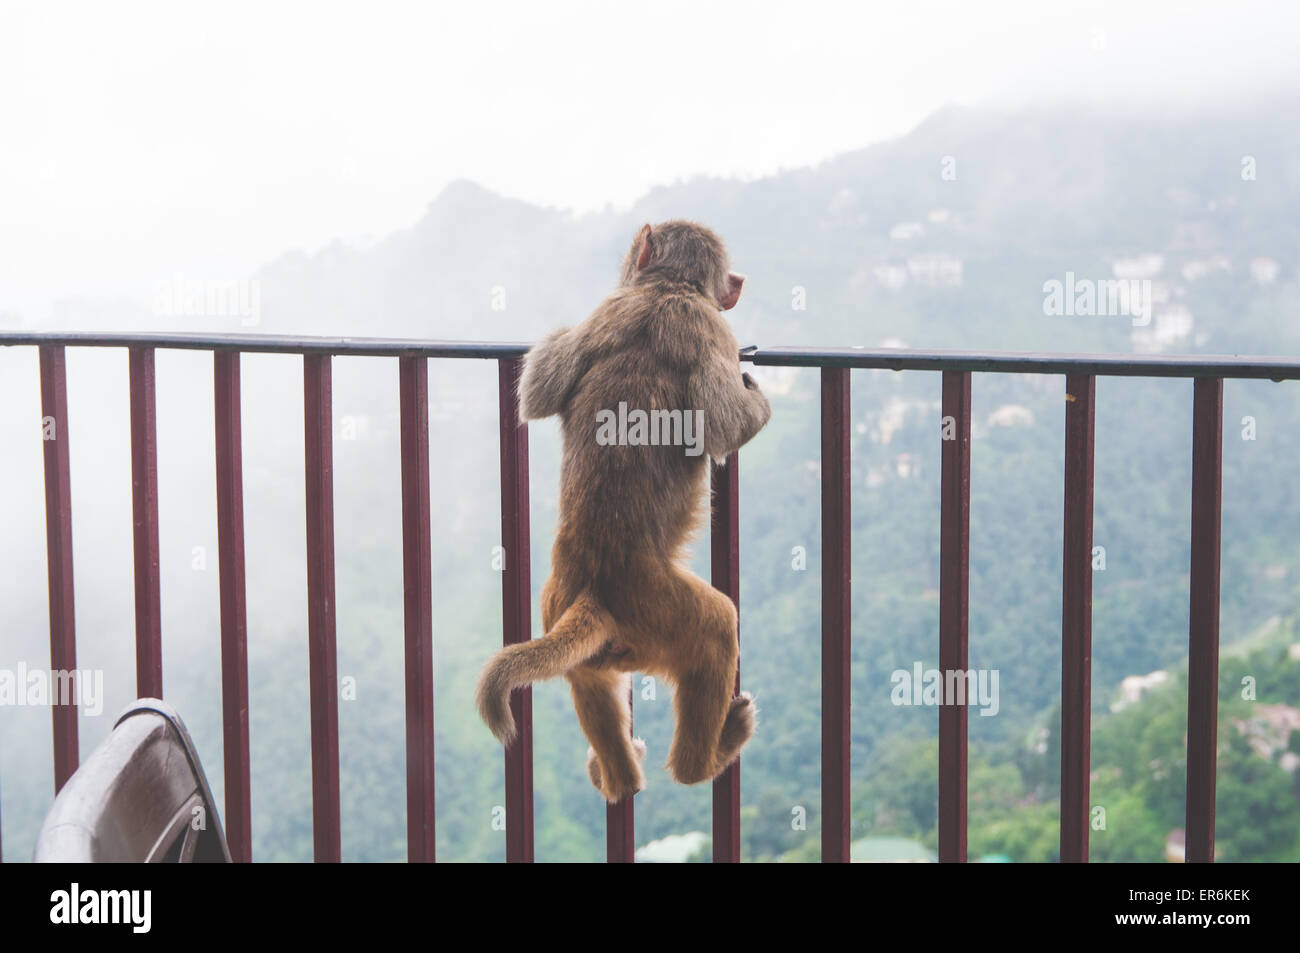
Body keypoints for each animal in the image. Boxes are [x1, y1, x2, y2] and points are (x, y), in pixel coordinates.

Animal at [475, 220, 772, 803]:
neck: (667, 287)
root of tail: (595, 588)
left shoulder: (605, 311)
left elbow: (537, 393)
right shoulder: (711, 330)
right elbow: (724, 426)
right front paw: (757, 399)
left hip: (567, 612)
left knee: (590, 682)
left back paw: (618, 773)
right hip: (661, 610)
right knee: (717, 628)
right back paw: (704, 758)